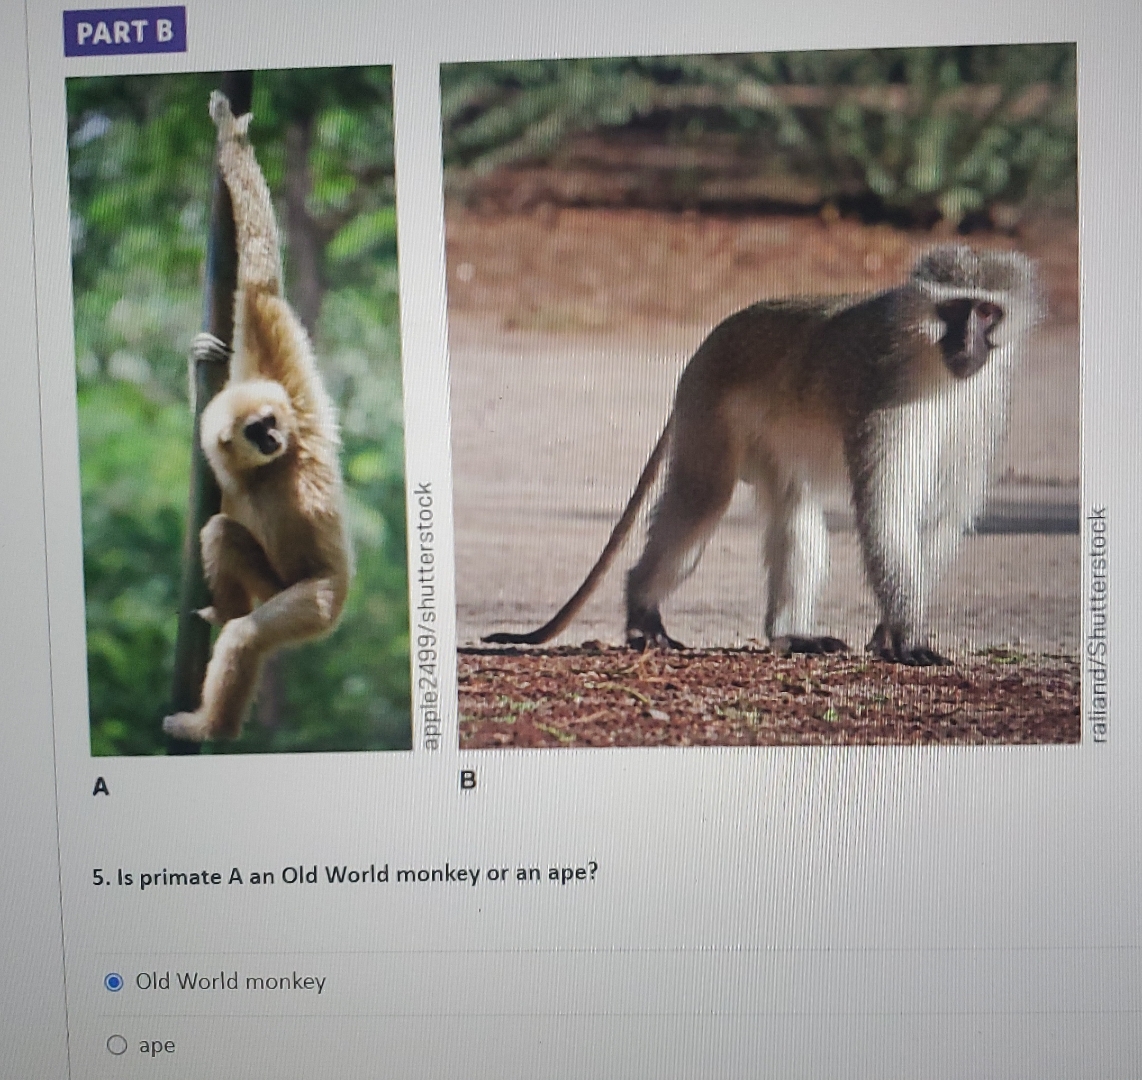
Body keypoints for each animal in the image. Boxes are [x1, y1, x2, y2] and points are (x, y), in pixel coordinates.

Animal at [163, 91, 352, 741]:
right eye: (255, 429)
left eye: (270, 423)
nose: (272, 436)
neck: (269, 469)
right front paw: (199, 360)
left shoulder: (290, 393)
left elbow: (261, 284)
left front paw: (229, 137)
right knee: (220, 532)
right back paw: (224, 609)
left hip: (317, 602)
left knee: (249, 635)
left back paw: (207, 729)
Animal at [484, 245, 1040, 665]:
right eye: (953, 310)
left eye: (986, 311)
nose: (967, 342)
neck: (931, 362)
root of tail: (716, 337)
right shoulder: (885, 395)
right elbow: (889, 510)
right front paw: (906, 634)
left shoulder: (987, 404)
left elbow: (944, 516)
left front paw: (888, 632)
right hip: (707, 410)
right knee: (702, 500)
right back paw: (643, 608)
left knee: (793, 508)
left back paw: (791, 635)